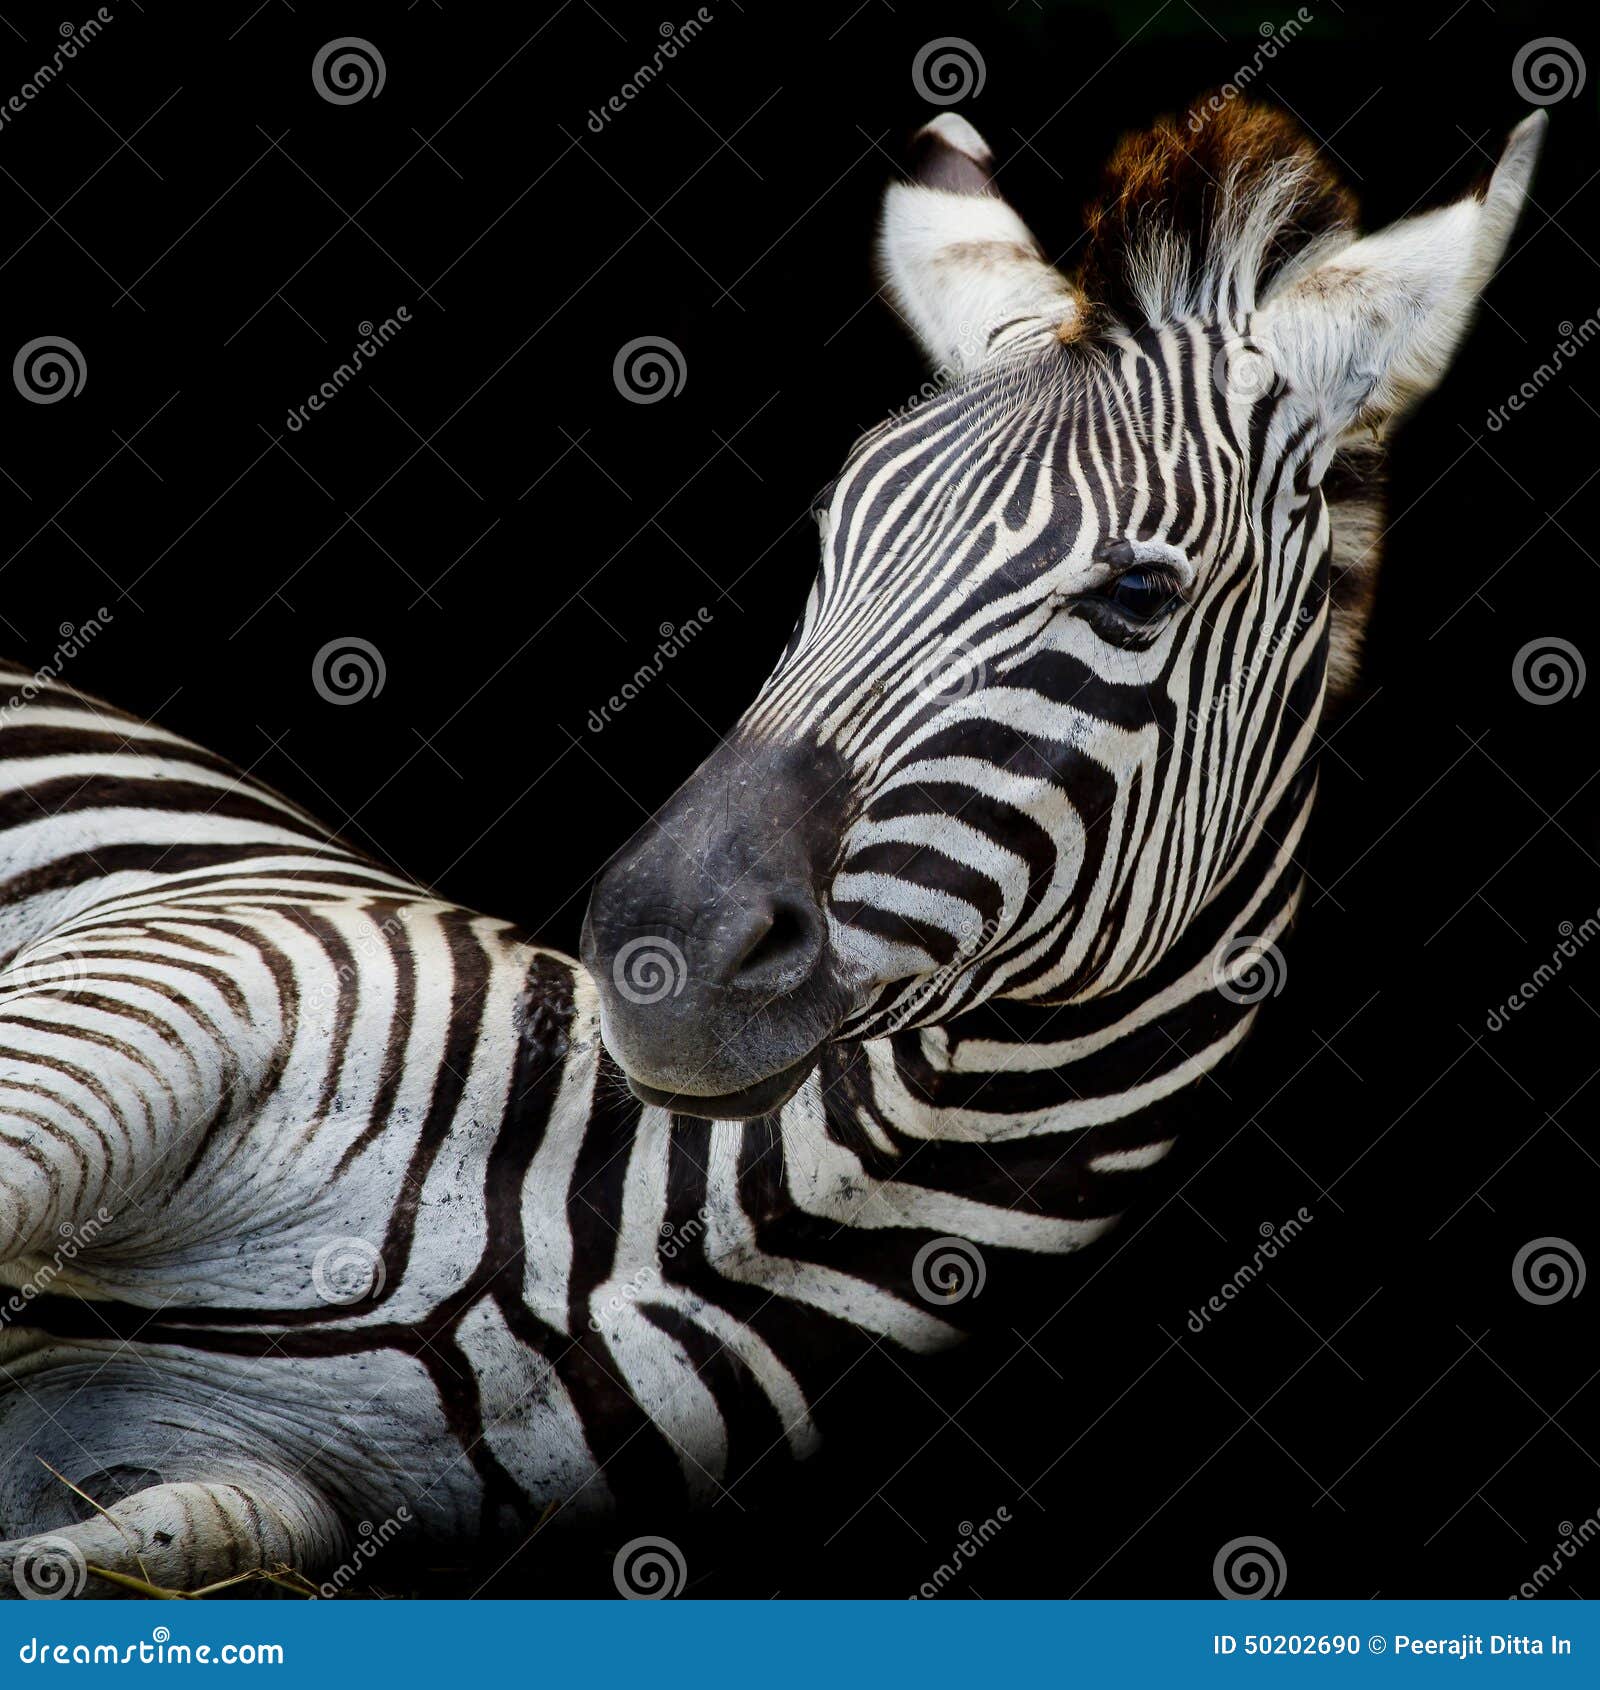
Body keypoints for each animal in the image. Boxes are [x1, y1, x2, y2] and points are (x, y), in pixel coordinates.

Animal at [0, 97, 1541, 1598]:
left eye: (1139, 594)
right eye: (830, 545)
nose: (661, 956)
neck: (650, 1234)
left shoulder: (249, 1472)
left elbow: (129, 1543)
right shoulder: (176, 971)